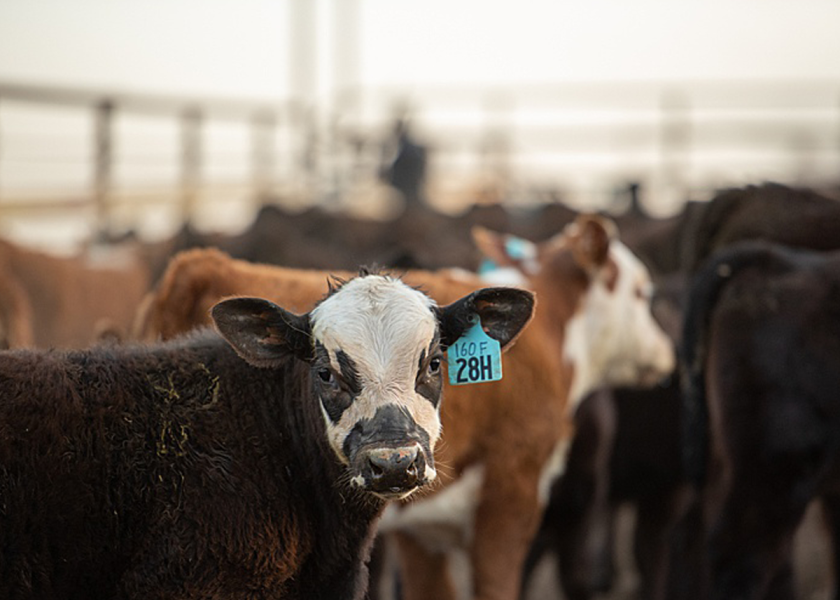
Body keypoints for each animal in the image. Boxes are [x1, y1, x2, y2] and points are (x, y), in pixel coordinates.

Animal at [133, 213, 675, 600]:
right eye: (642, 292)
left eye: (436, 362)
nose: (666, 351)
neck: (554, 331)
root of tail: (195, 264)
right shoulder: (510, 498)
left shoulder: (420, 528)